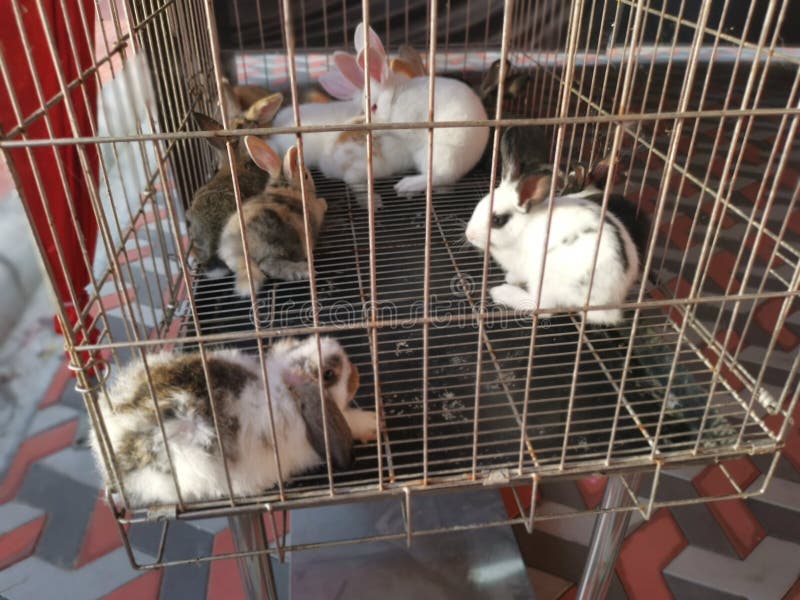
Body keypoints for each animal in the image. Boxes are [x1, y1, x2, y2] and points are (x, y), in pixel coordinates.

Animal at [217, 136, 328, 296]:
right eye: (306, 176)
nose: (312, 183)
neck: (286, 188)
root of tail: (238, 253)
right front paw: (324, 202)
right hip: (274, 247)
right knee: (269, 266)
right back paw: (304, 270)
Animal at [465, 127, 642, 325]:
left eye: (497, 220)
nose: (469, 234)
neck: (522, 229)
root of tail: (607, 303)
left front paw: (508, 281)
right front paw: (511, 277)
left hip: (545, 278)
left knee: (541, 308)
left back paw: (500, 292)